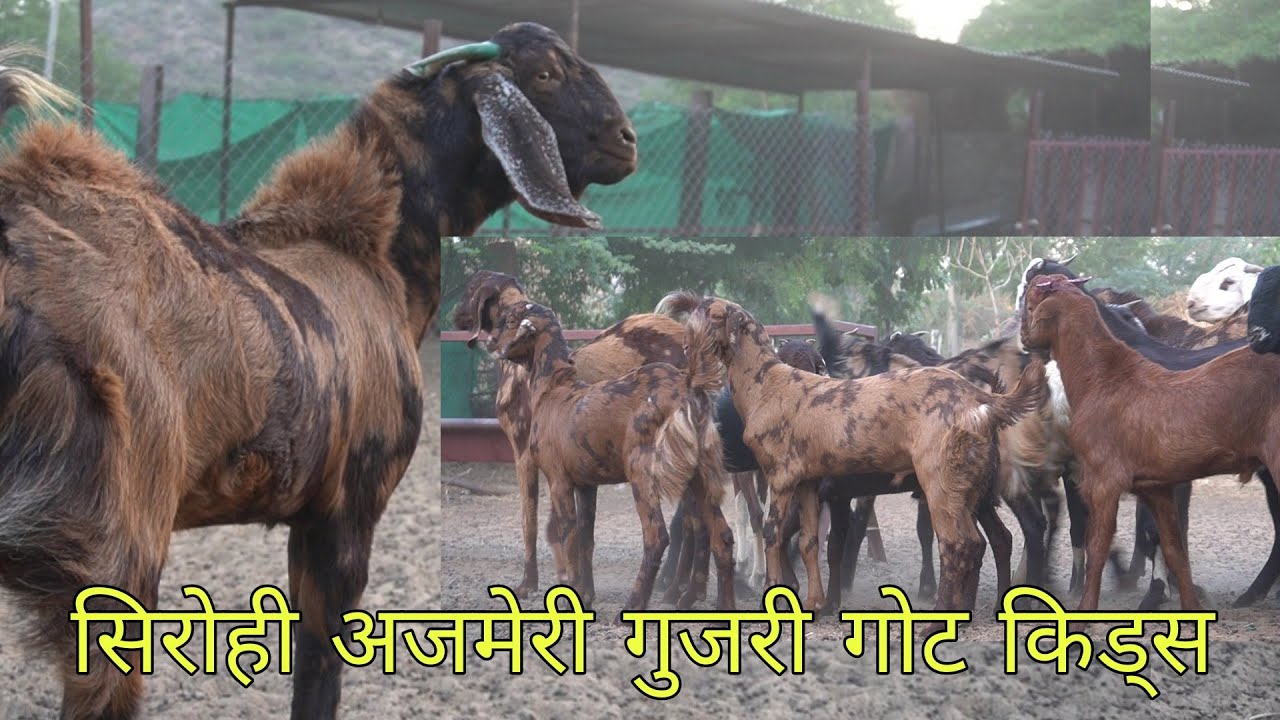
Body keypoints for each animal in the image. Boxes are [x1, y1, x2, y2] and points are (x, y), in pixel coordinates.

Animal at [0, 23, 634, 720]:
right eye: (545, 73)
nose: (626, 140)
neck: (371, 254)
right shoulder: (349, 504)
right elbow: (318, 673)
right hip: (113, 551)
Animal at [451, 271, 709, 604]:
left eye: (471, 287)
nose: (454, 315)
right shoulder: (582, 476)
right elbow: (582, 536)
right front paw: (584, 590)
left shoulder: (527, 458)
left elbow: (533, 524)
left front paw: (531, 583)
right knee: (700, 522)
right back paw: (685, 590)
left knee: (680, 527)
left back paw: (676, 590)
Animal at [687, 297, 1045, 613]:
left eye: (714, 313)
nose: (688, 338)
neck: (769, 387)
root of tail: (983, 400)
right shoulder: (813, 485)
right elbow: (809, 541)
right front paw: (816, 601)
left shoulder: (787, 477)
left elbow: (780, 534)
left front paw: (782, 593)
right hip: (976, 487)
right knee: (997, 539)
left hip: (950, 481)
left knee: (974, 540)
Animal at [1021, 273, 1280, 611]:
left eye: (1029, 303)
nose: (1023, 338)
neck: (1105, 378)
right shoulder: (1156, 487)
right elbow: (1172, 548)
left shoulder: (1103, 482)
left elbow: (1098, 546)